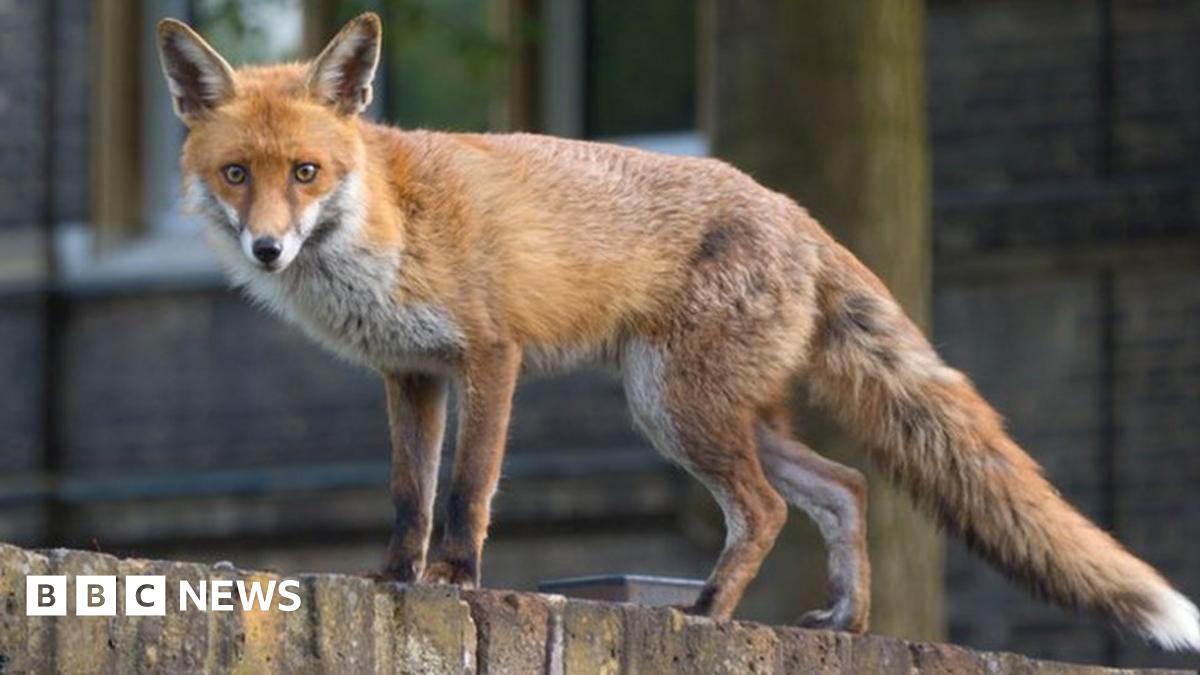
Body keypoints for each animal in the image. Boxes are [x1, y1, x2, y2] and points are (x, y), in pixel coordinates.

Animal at [155, 12, 1199, 650]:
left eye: (306, 172)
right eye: (238, 174)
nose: (267, 250)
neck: (388, 223)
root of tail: (798, 211)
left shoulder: (492, 354)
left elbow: (465, 492)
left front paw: (454, 580)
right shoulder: (411, 374)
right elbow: (409, 497)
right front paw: (390, 580)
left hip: (673, 406)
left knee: (768, 511)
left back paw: (706, 613)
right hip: (715, 411)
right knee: (847, 484)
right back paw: (845, 621)